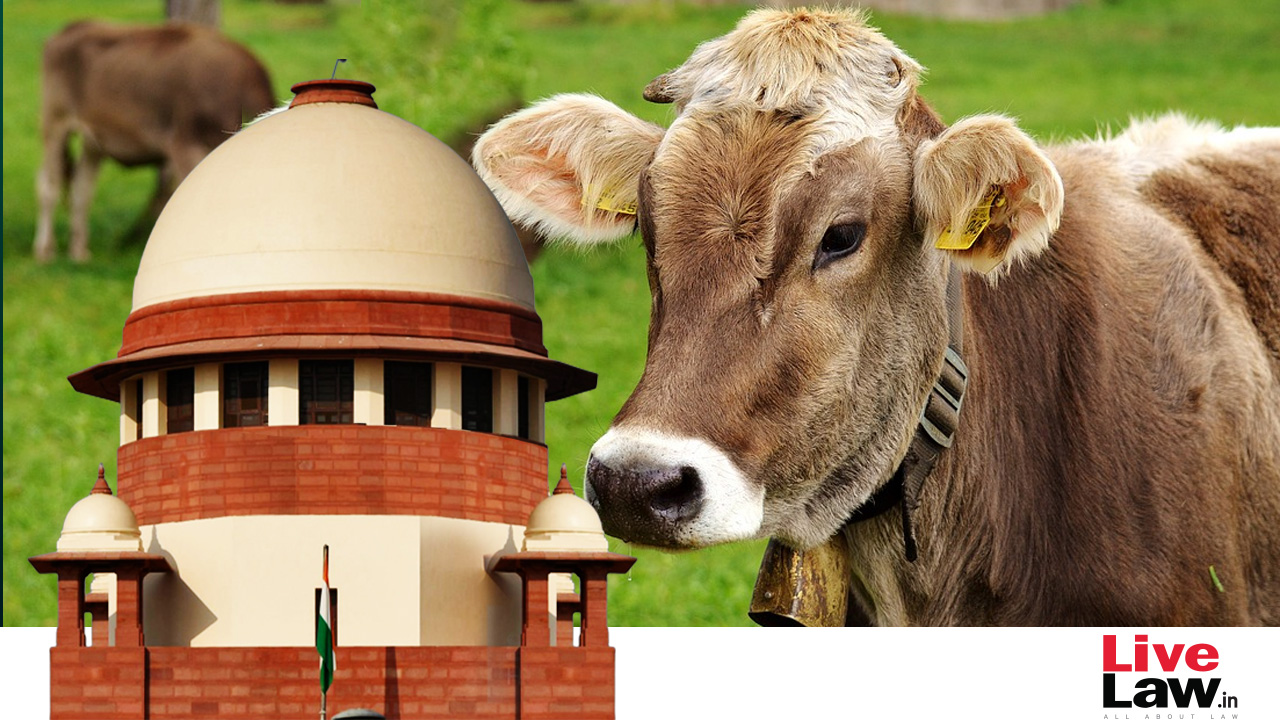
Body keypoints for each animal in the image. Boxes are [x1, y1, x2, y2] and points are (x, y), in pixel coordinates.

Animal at [34, 20, 274, 263]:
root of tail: (73, 27)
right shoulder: (183, 145)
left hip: (93, 140)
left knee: (81, 189)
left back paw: (79, 251)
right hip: (55, 123)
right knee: (49, 186)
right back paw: (44, 250)